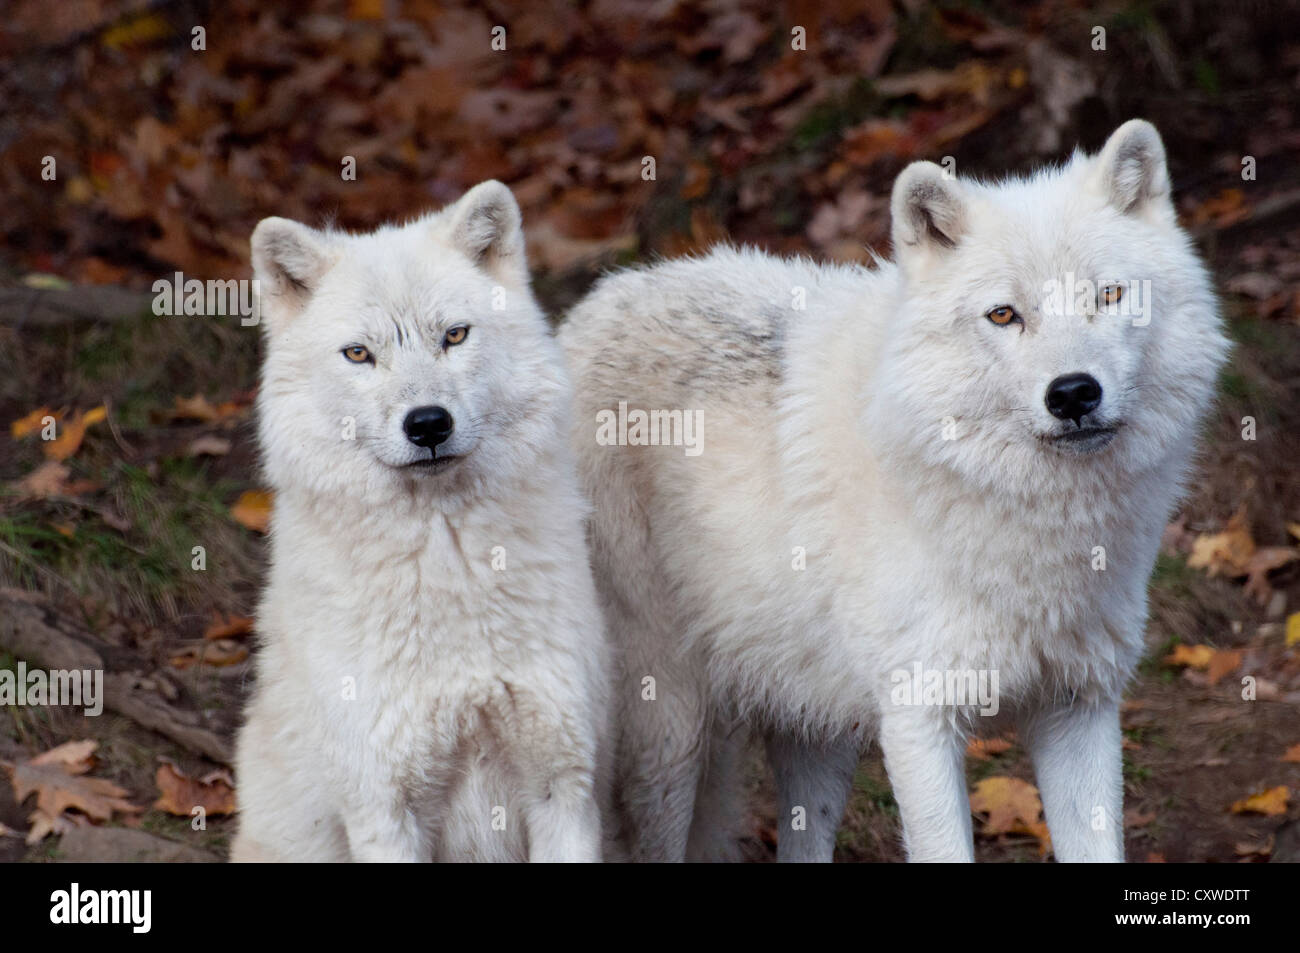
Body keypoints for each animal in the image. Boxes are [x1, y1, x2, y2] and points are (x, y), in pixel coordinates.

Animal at [232, 181, 608, 862]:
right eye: (359, 354)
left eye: (454, 336)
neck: (447, 561)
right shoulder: (384, 809)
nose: (428, 423)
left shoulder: (565, 789)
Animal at [560, 121, 1228, 862]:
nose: (1074, 393)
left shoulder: (1080, 706)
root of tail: (594, 304)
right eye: (1004, 315)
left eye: (1108, 296)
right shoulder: (918, 719)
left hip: (814, 726)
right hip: (671, 733)